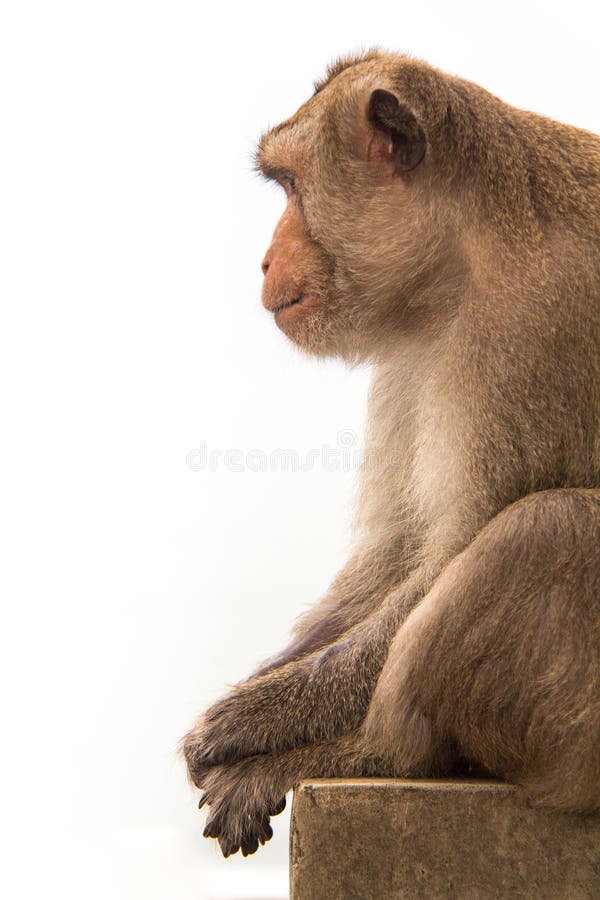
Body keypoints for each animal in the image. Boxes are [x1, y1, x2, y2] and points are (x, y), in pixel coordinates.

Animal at [182, 50, 600, 858]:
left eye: (291, 185)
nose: (264, 262)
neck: (468, 252)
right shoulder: (414, 346)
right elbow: (400, 547)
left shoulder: (532, 336)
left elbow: (455, 546)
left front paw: (253, 721)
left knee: (551, 527)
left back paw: (372, 755)